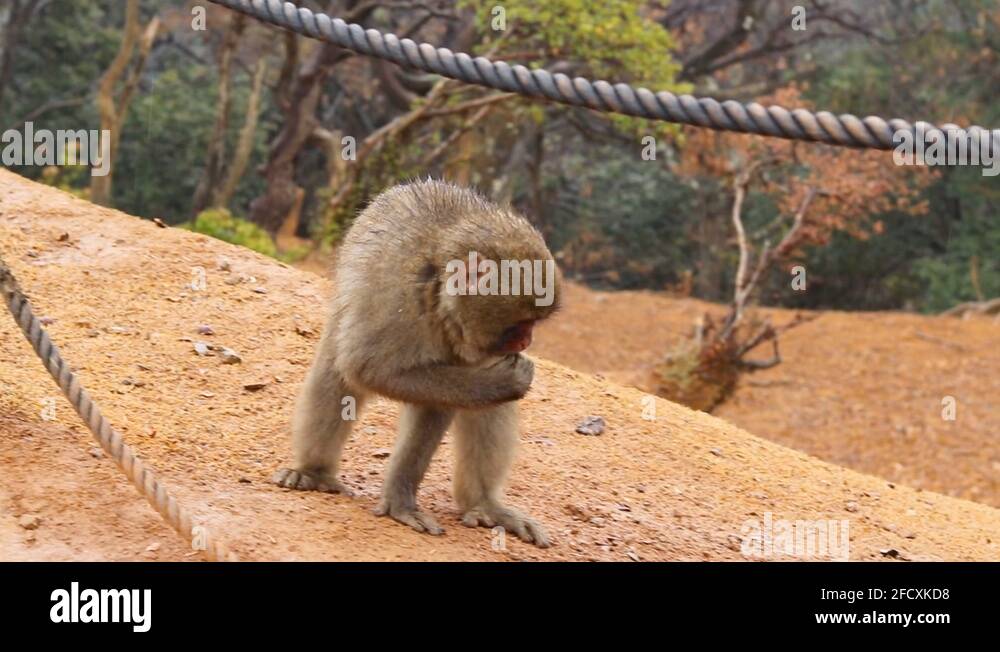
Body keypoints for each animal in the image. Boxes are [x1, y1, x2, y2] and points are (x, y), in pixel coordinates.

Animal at [273, 179, 561, 547]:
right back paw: (313, 471)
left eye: (533, 324)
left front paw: (401, 498)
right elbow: (367, 369)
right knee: (335, 373)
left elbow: (443, 401)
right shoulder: (395, 293)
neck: (440, 287)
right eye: (521, 324)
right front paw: (508, 381)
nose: (527, 342)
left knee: (487, 405)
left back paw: (485, 504)